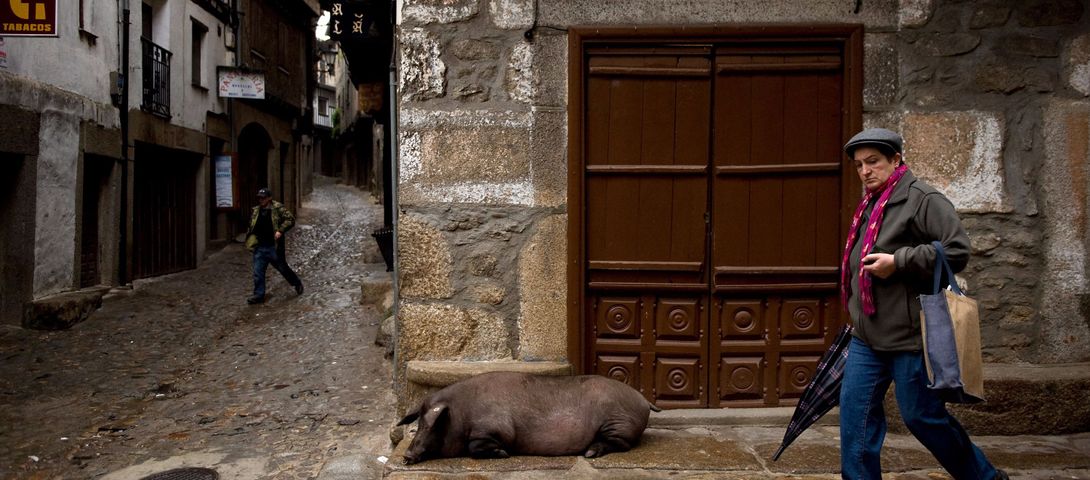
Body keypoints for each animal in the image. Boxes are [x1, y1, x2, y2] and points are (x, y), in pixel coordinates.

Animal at [396, 371, 660, 464]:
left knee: (622, 444)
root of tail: (643, 399)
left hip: (618, 422)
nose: (406, 455)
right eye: (417, 424)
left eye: (430, 425)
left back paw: (590, 453)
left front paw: (503, 453)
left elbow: (477, 447)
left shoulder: (494, 428)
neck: (462, 414)